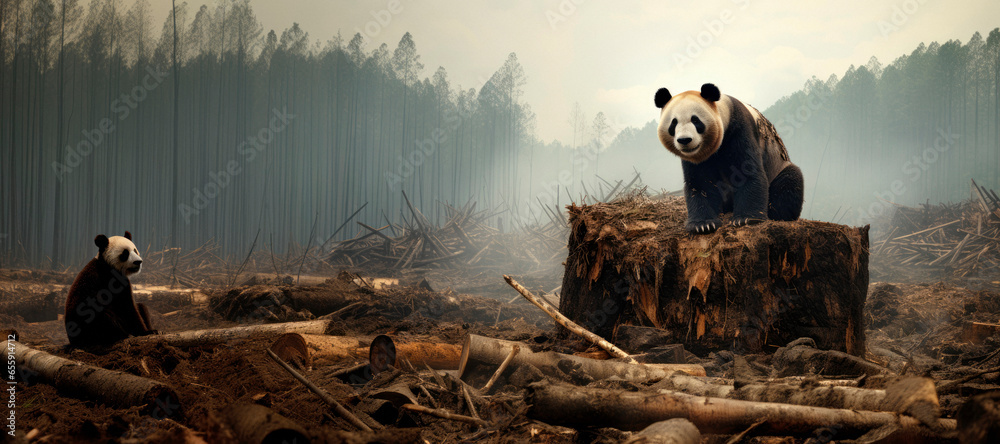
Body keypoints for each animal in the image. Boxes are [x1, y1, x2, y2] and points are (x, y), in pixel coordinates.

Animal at [654, 83, 803, 234]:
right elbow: (699, 182)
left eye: (695, 120)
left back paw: (777, 215)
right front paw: (702, 224)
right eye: (673, 123)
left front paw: (745, 219)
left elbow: (747, 171)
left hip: (778, 165)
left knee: (789, 183)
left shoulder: (739, 129)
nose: (684, 140)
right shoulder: (695, 158)